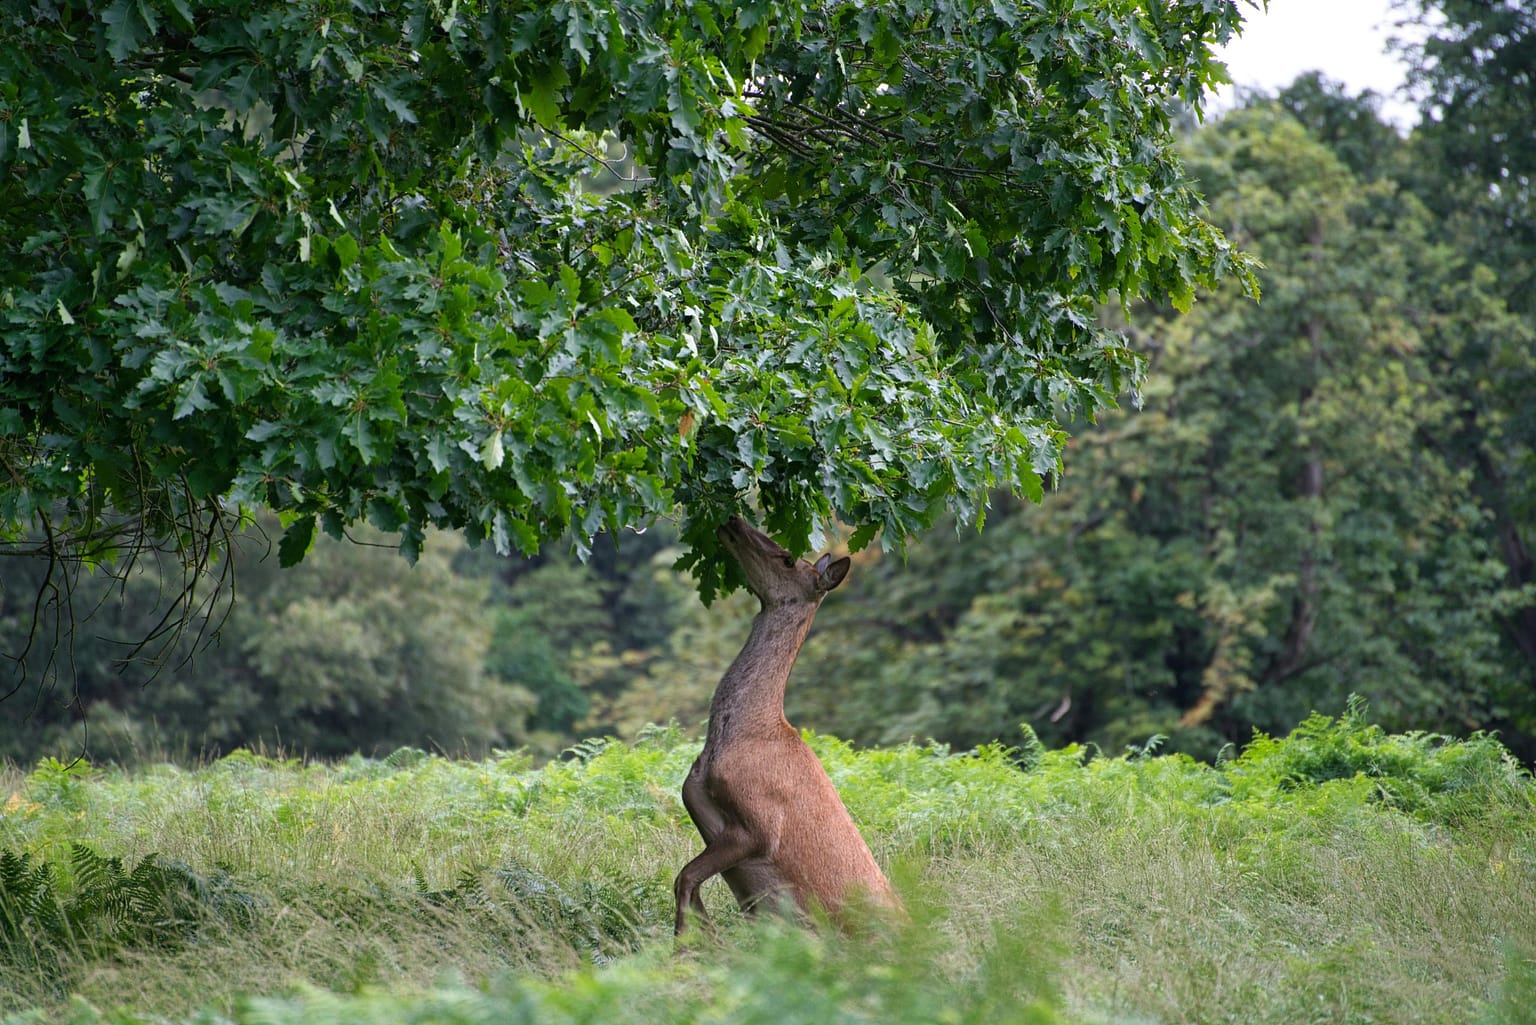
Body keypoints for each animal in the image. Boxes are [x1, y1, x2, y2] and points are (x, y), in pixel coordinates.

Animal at [673, 516, 900, 935]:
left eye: (787, 558)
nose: (733, 520)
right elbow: (689, 886)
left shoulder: (759, 825)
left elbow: (685, 879)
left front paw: (683, 943)